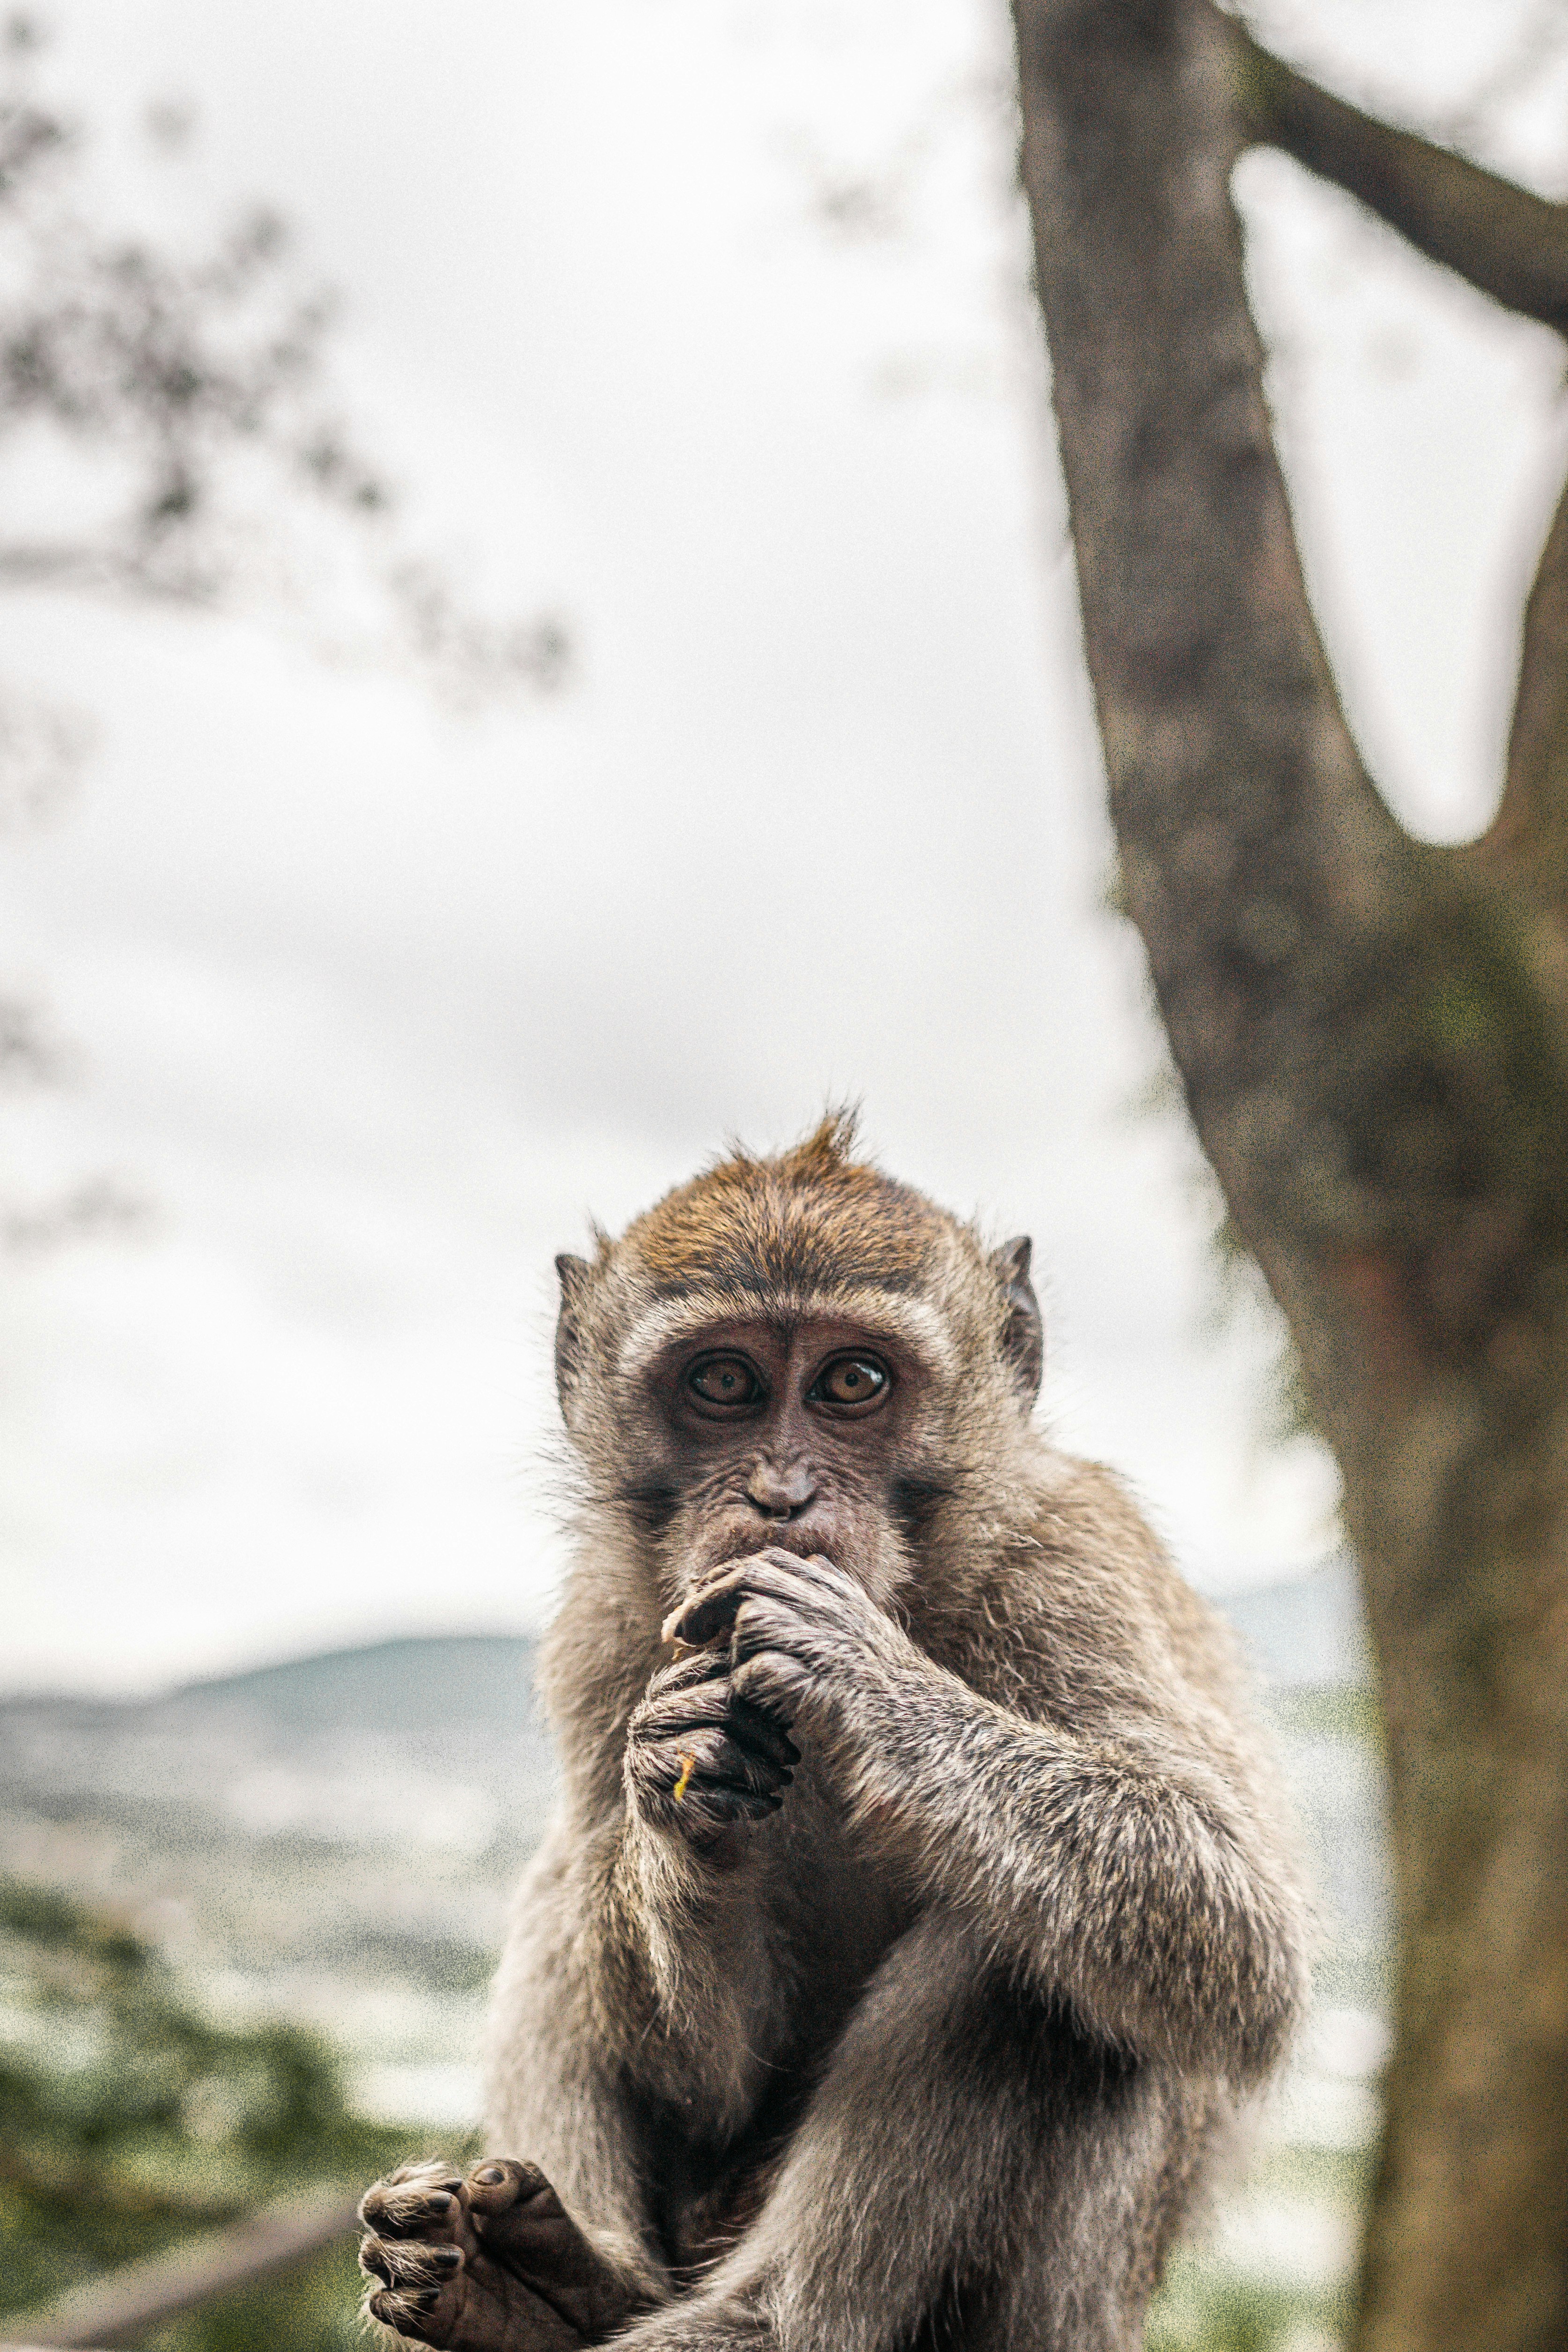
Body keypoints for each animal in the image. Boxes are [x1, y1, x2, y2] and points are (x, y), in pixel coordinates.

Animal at [359, 1114, 1311, 2352]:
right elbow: (710, 2077)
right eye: (723, 1381)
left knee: (1029, 1958)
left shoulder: (1069, 1560)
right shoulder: (599, 1635)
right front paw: (681, 1773)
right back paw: (550, 2284)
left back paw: (764, 2318)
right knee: (572, 1875)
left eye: (852, 1380)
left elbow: (1235, 1930)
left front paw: (848, 1665)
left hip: (1054, 2299)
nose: (781, 1497)